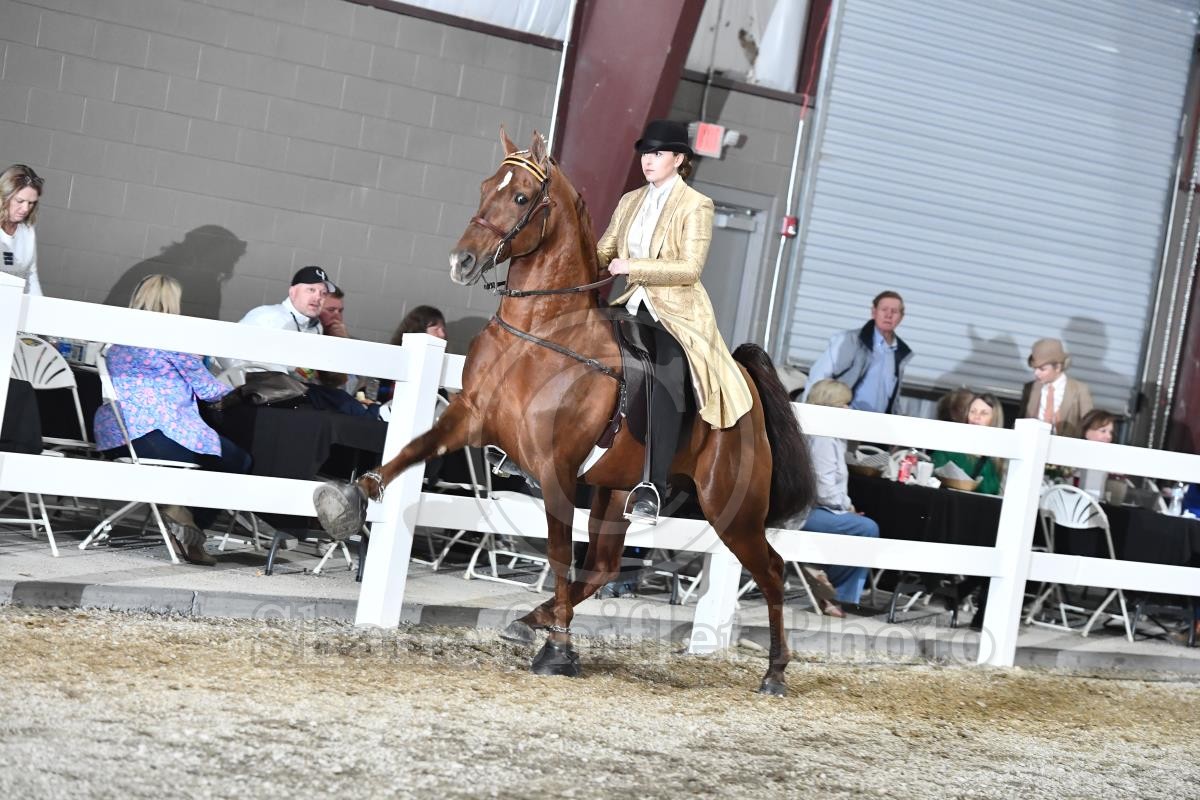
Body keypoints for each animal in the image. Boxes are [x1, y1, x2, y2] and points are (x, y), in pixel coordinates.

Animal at [314, 129, 817, 695]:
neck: (540, 332)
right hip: (616, 491)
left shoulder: (555, 466)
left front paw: (558, 652)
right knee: (603, 567)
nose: (461, 262)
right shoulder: (471, 417)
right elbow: (412, 449)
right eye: (485, 186)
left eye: (520, 197)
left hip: (732, 506)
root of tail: (744, 380)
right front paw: (349, 497)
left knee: (770, 569)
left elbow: (556, 551)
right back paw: (532, 619)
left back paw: (774, 672)